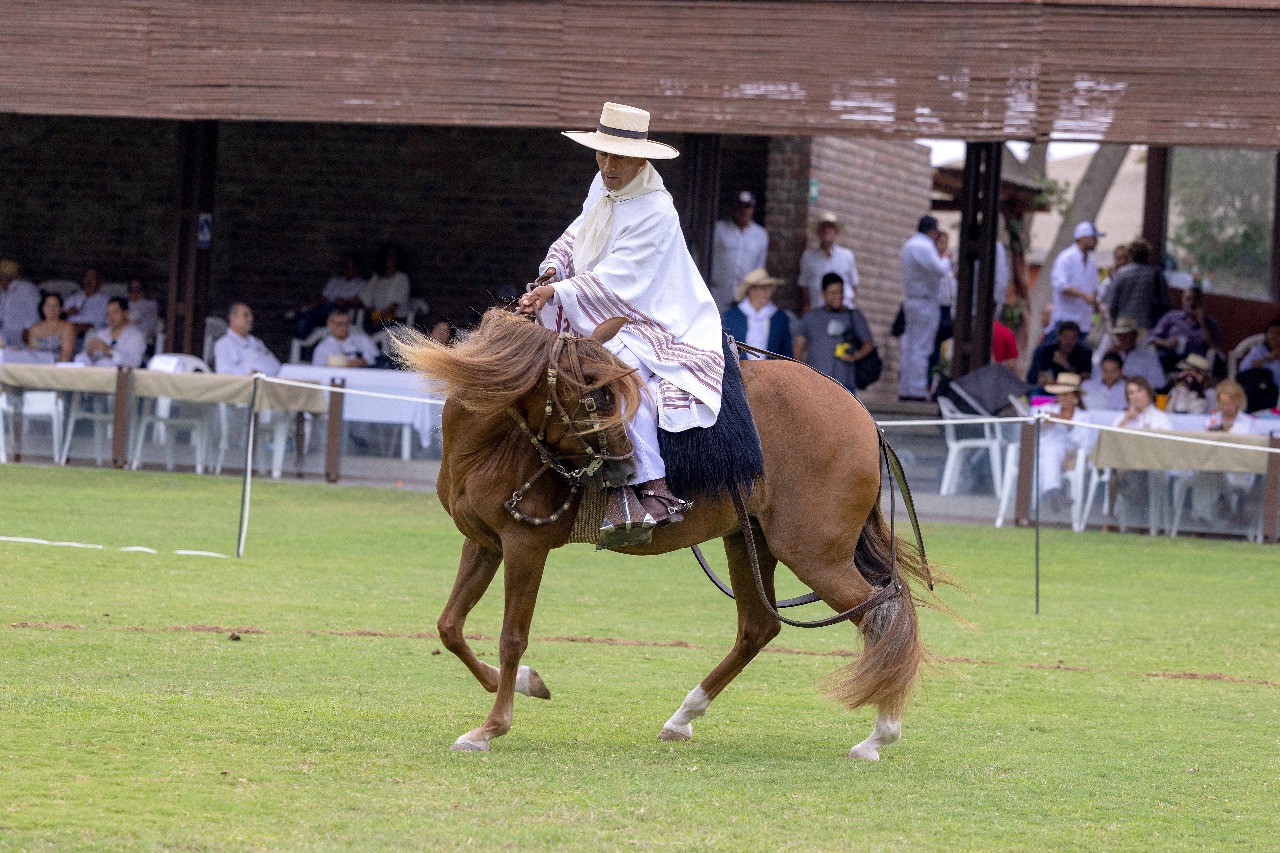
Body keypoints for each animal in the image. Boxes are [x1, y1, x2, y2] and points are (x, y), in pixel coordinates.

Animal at [394, 308, 937, 760]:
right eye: (592, 397)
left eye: (615, 396)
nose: (628, 466)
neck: (493, 442)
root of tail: (863, 415)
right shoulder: (485, 542)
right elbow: (450, 626)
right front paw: (527, 683)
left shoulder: (525, 545)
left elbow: (511, 637)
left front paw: (490, 728)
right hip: (750, 539)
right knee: (761, 626)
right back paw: (682, 718)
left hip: (814, 554)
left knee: (883, 616)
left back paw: (879, 735)